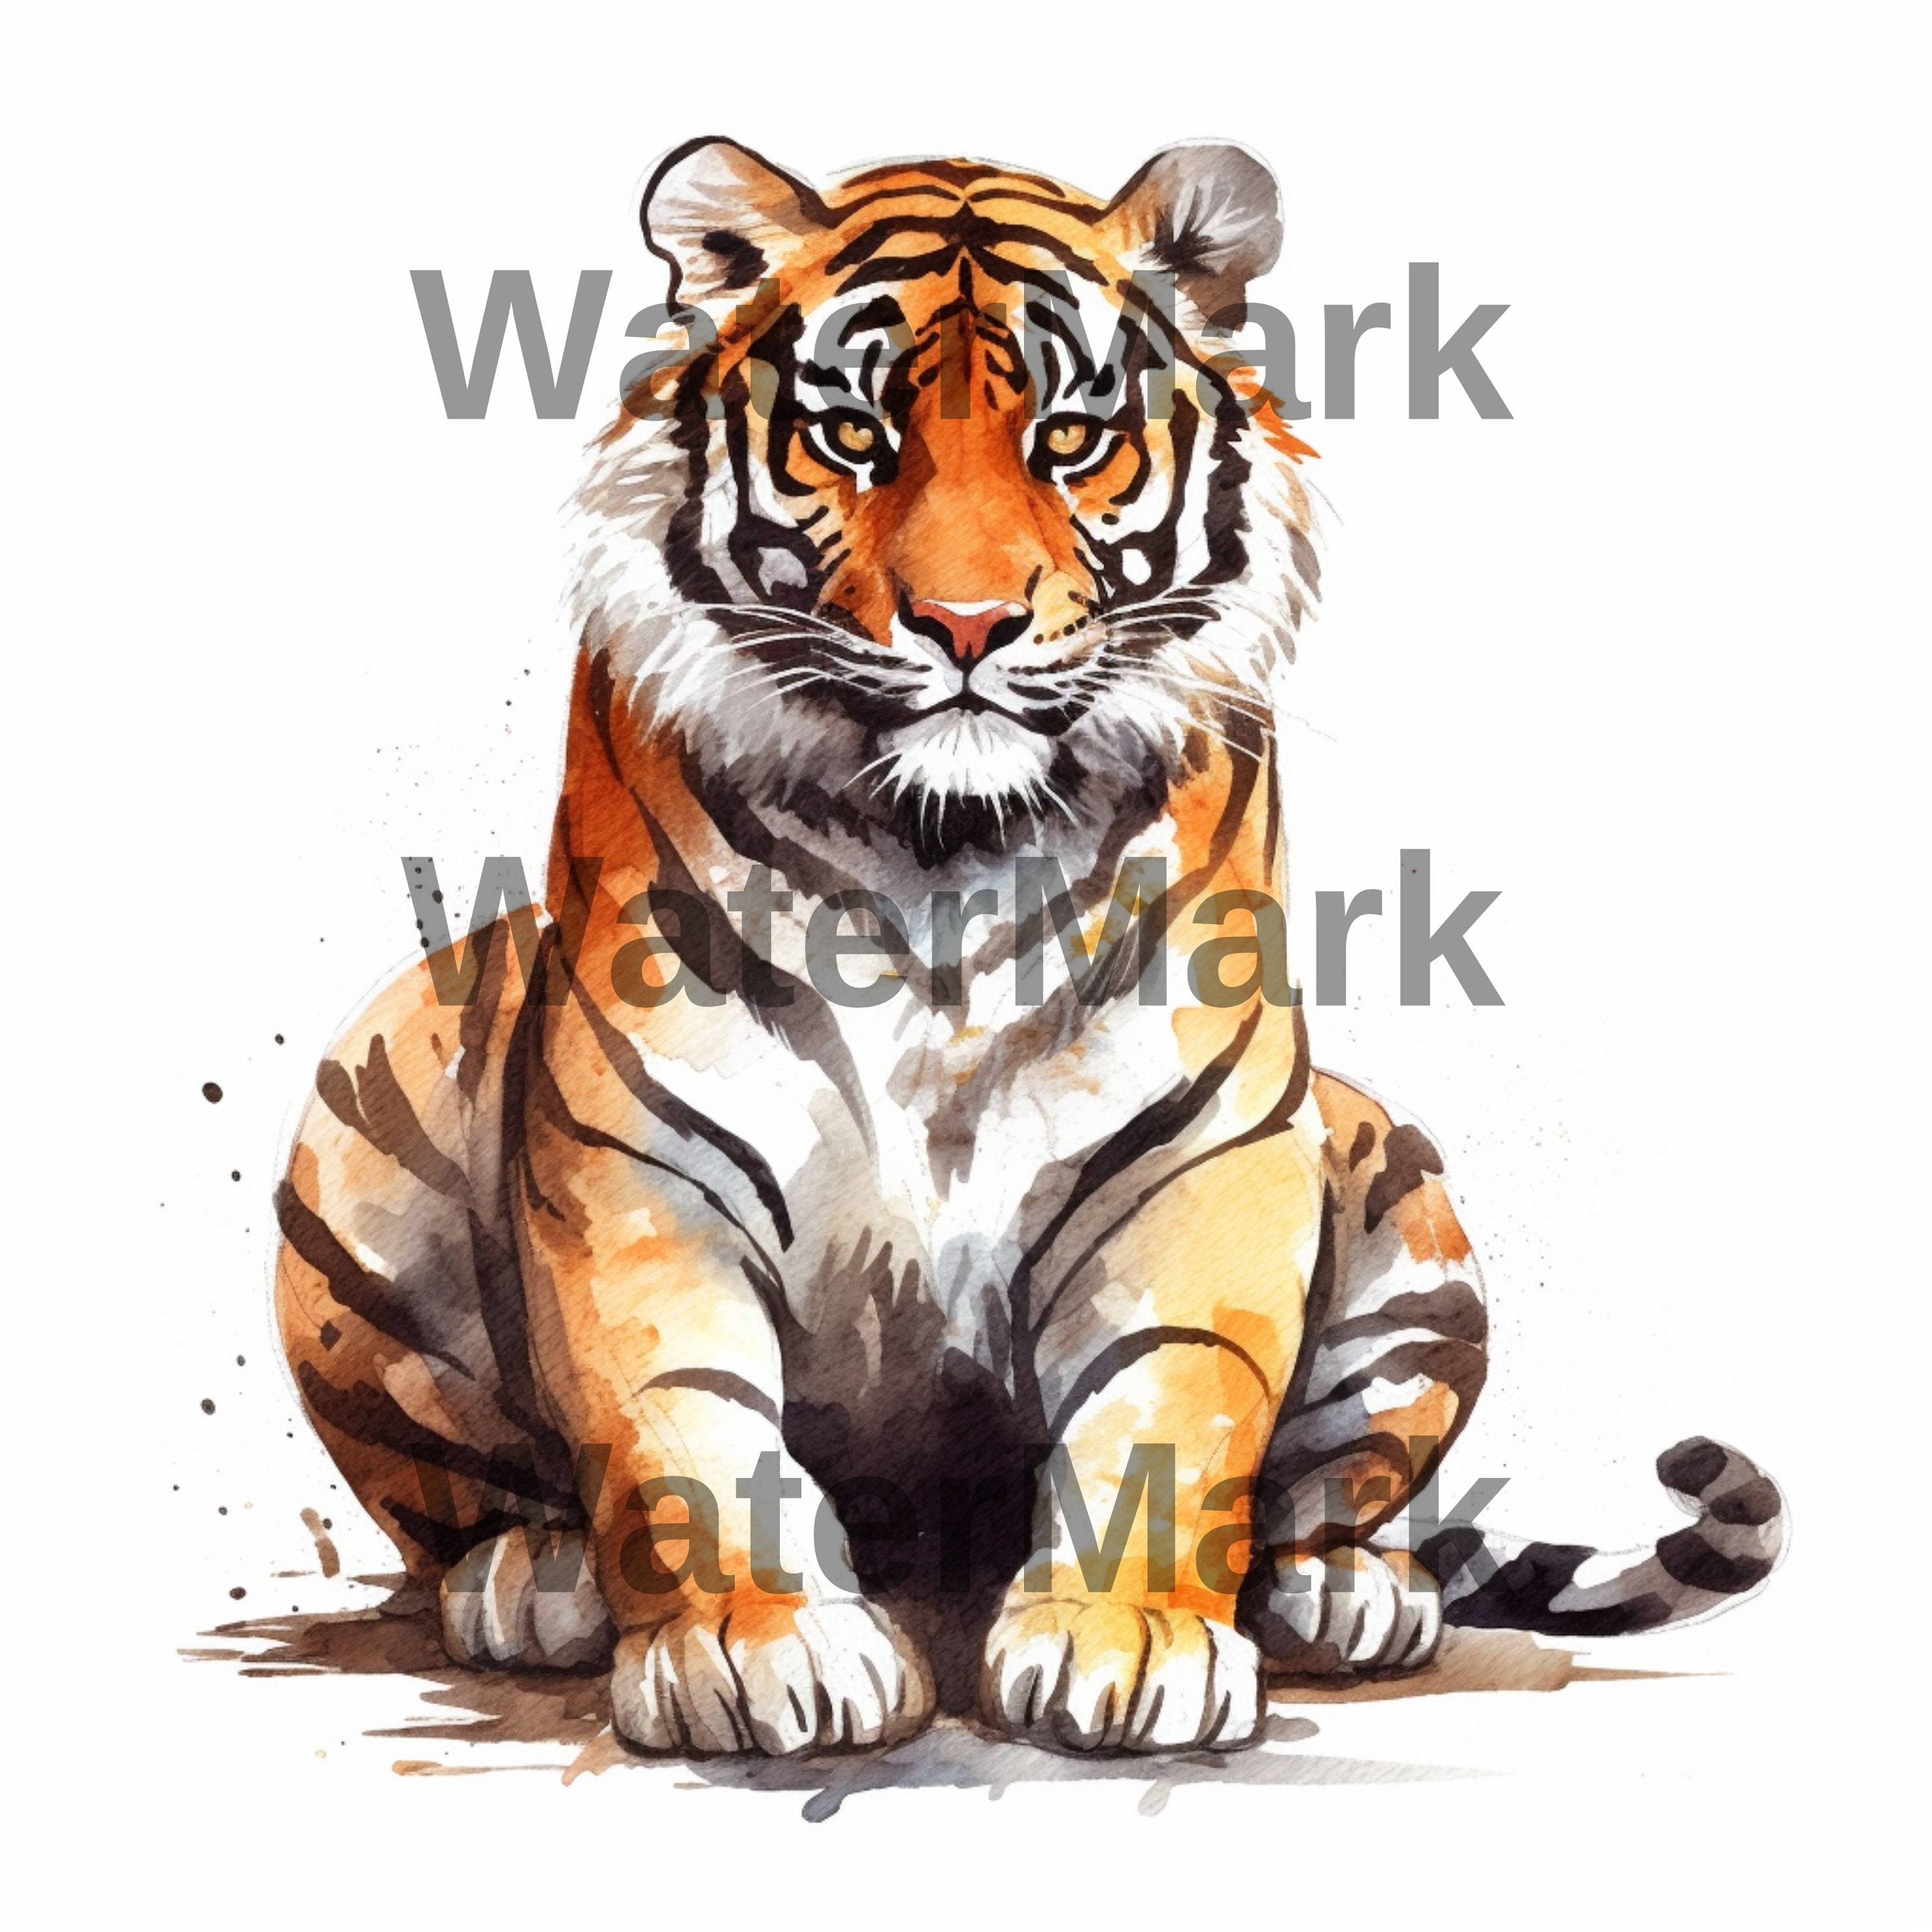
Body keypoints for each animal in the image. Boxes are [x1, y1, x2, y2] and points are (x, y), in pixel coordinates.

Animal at [275, 137, 1784, 1757]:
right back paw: (533, 1575)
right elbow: (684, 1421)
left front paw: (1129, 1648)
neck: (943, 849)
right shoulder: (644, 1158)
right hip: (383, 1081)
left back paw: (1343, 1588)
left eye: (1069, 439)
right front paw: (764, 1650)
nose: (965, 622)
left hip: (1393, 1180)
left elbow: (1170, 1407)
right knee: (458, 1499)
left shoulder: (1199, 1155)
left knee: (1342, 1485)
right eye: (853, 436)